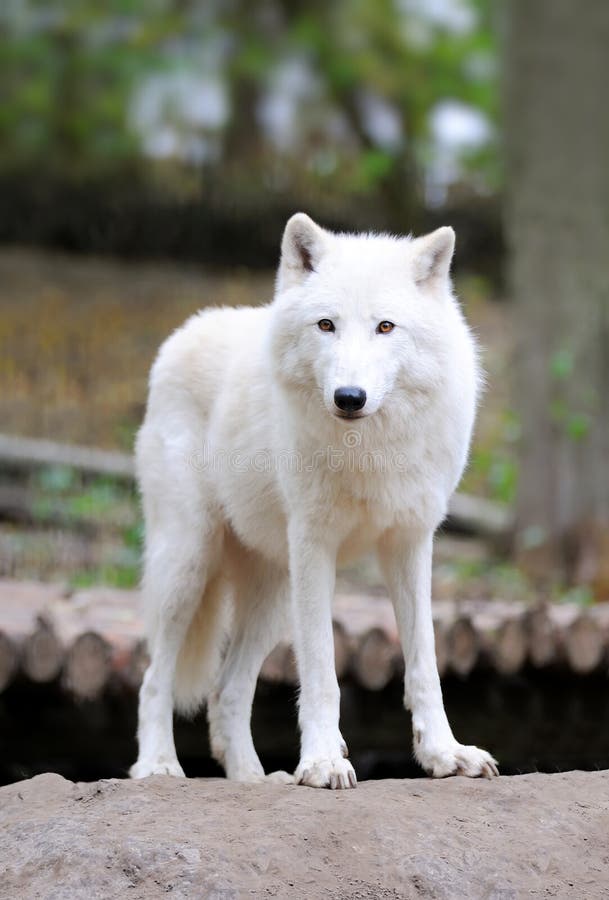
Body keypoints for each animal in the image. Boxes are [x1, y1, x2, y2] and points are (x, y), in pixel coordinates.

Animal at [130, 213, 498, 788]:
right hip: (189, 565)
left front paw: (444, 754)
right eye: (326, 325)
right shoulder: (314, 547)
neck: (367, 451)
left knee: (227, 691)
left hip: (272, 596)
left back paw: (255, 780)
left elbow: (424, 663)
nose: (349, 397)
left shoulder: (411, 543)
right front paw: (324, 761)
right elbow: (323, 670)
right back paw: (159, 765)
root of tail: (187, 329)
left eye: (385, 327)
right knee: (154, 677)